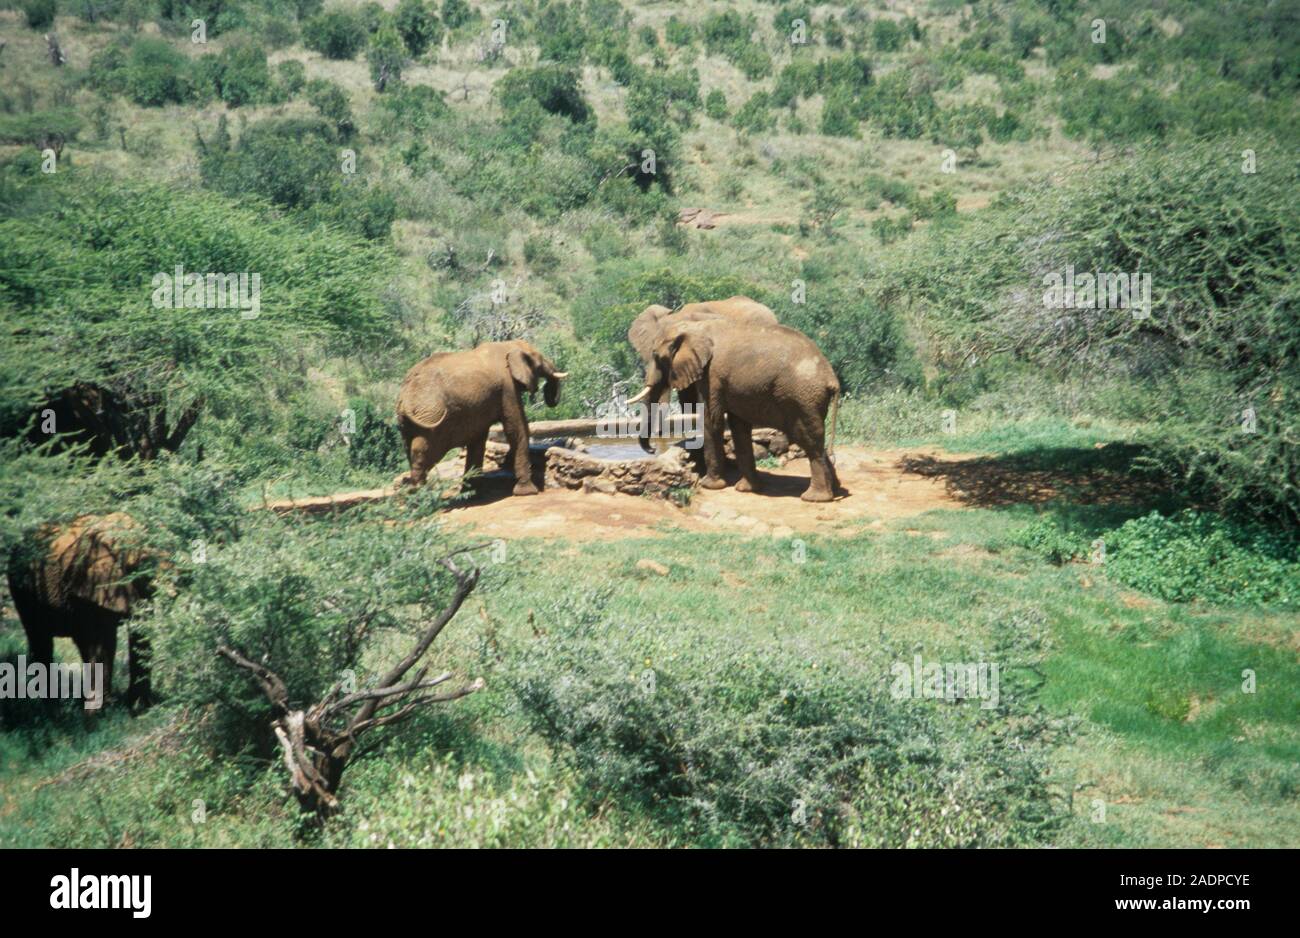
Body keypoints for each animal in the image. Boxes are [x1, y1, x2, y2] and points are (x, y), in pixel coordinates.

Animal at [6, 513, 154, 712]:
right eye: (135, 566)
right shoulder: (87, 588)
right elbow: (97, 643)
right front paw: (101, 711)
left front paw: (133, 708)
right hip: (22, 592)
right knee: (40, 639)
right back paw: (51, 709)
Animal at [396, 339, 568, 496]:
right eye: (540, 361)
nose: (546, 391)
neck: (509, 345)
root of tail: (405, 395)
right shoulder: (507, 388)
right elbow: (517, 429)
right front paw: (528, 492)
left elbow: (478, 440)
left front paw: (471, 493)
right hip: (430, 415)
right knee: (422, 451)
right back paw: (421, 495)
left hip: (407, 421)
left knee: (409, 448)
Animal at [629, 320, 841, 502]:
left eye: (657, 356)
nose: (652, 449)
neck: (695, 327)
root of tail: (831, 378)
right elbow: (739, 427)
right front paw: (746, 489)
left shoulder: (712, 374)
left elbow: (711, 420)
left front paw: (709, 485)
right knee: (815, 441)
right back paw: (835, 490)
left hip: (802, 399)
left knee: (808, 441)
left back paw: (815, 498)